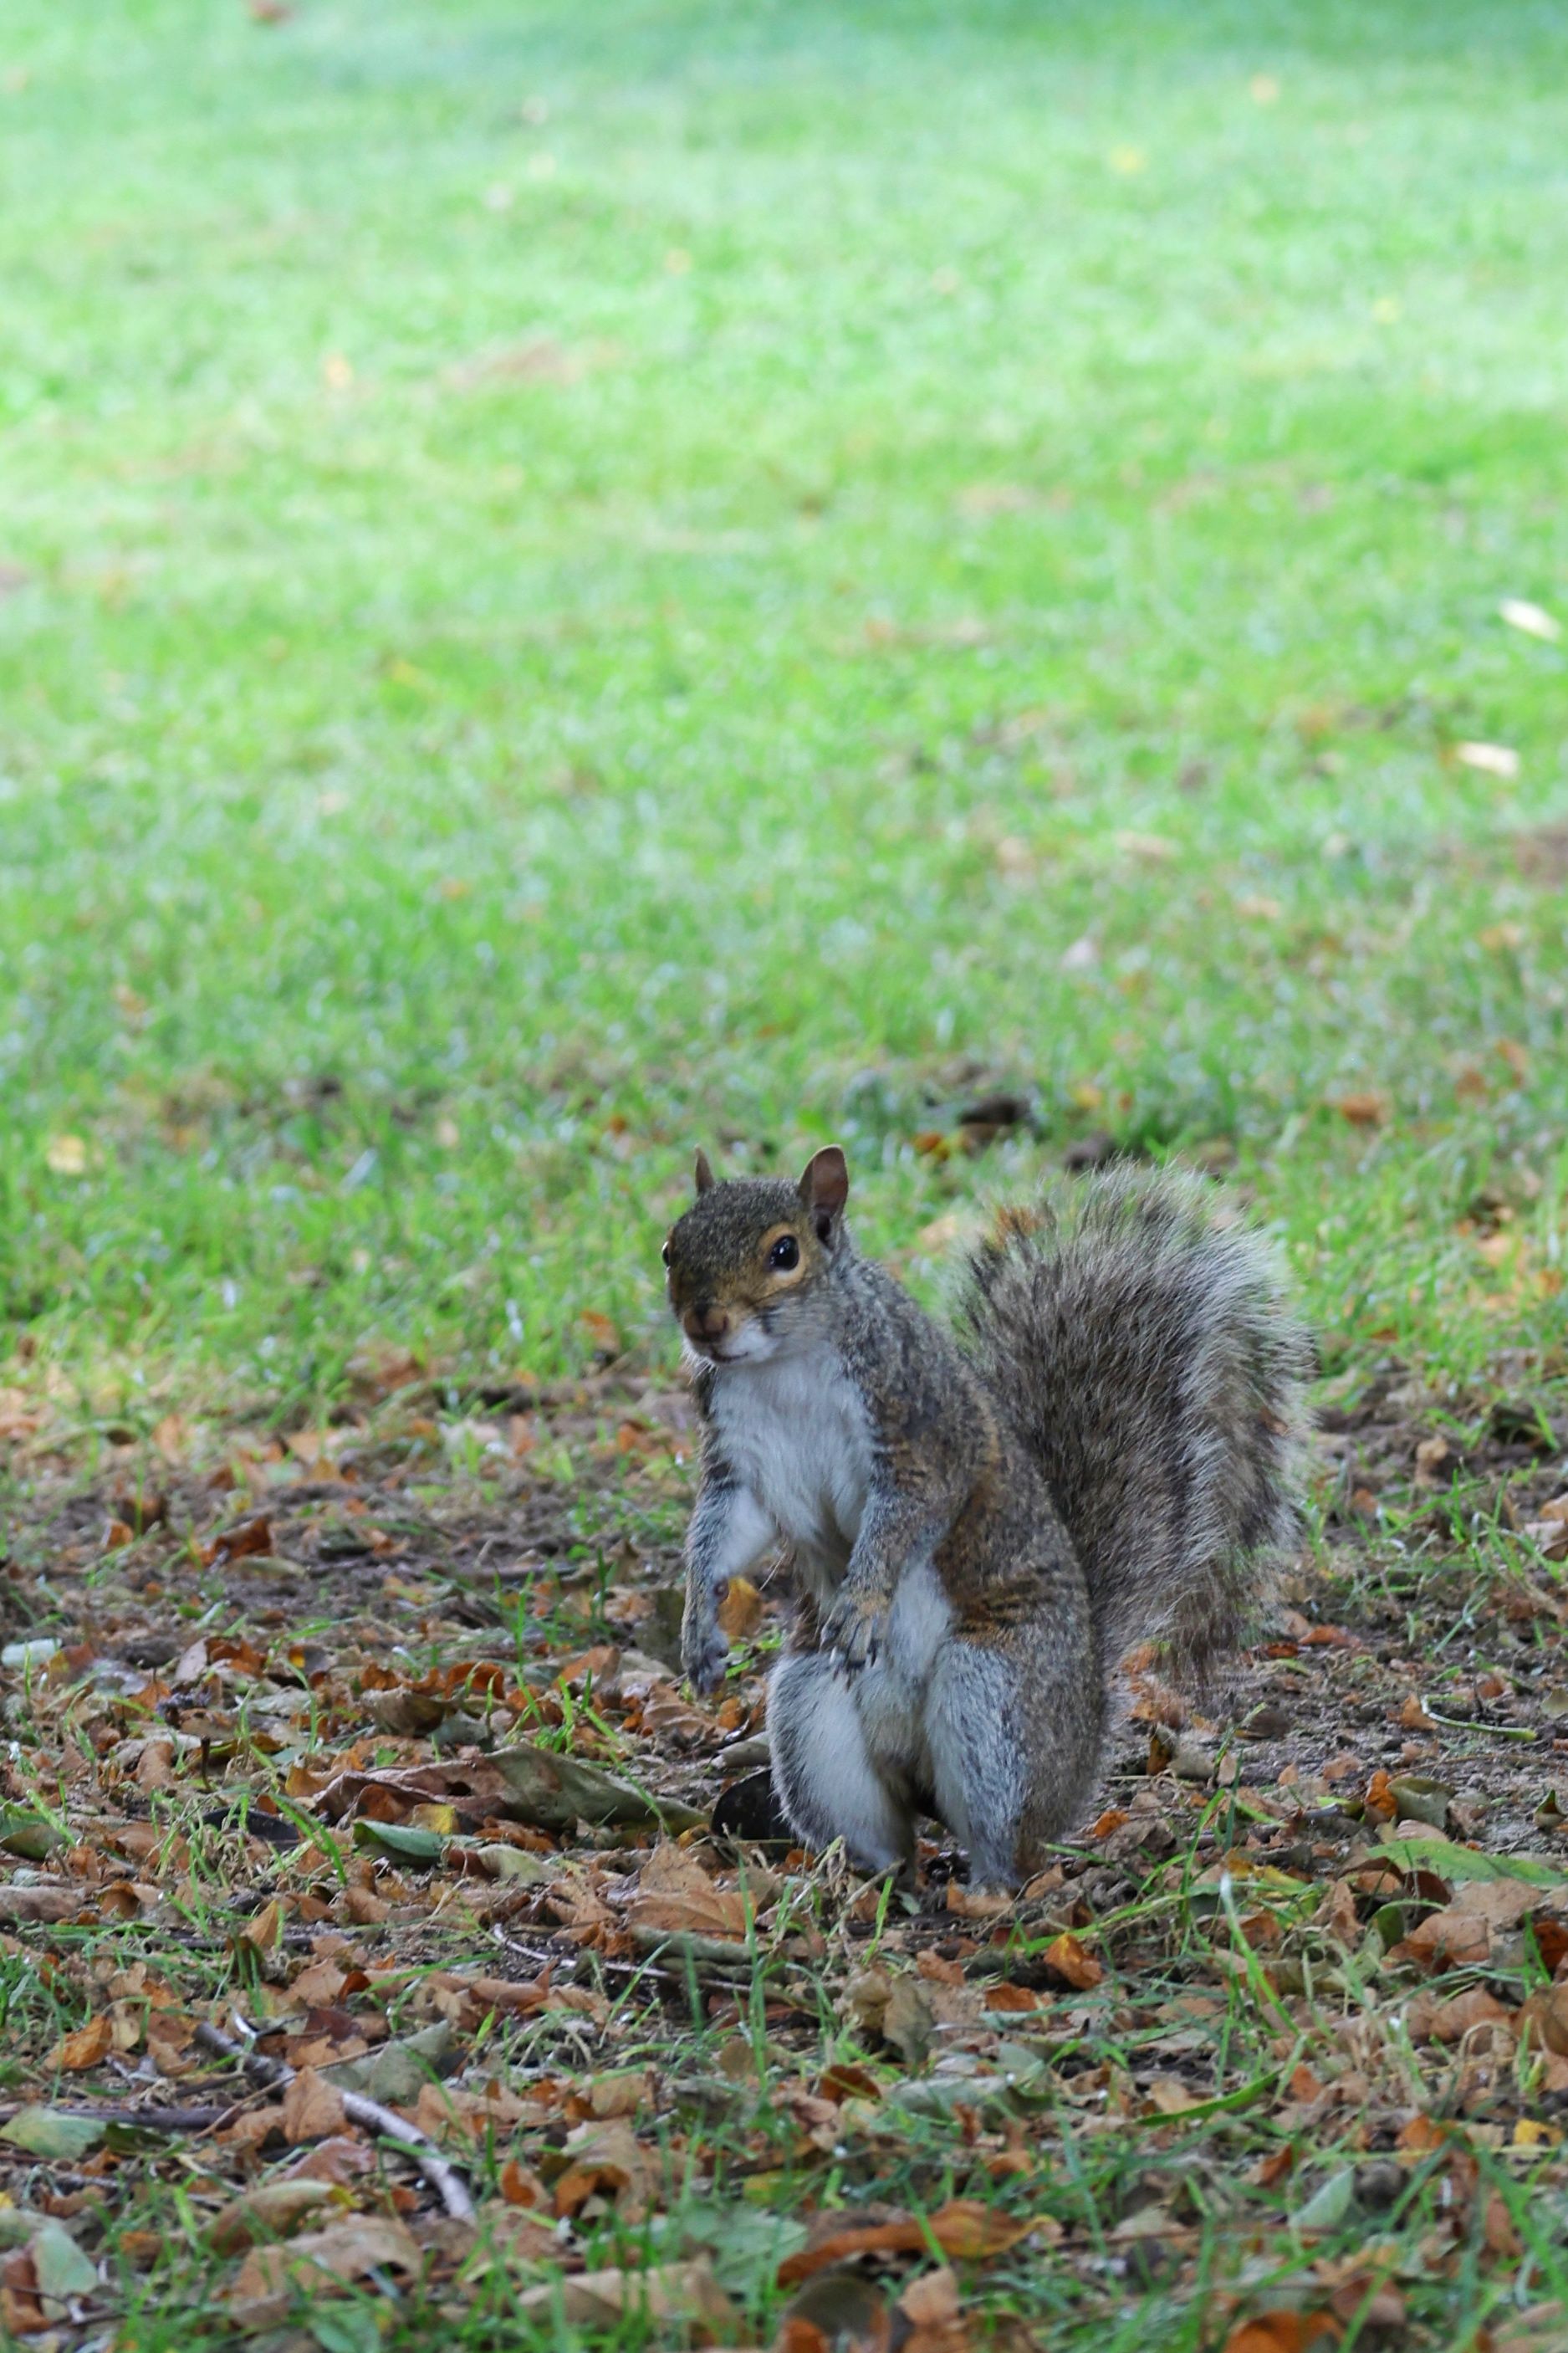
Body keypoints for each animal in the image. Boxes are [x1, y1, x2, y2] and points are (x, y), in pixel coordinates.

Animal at [664, 1144, 1312, 1890]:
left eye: (783, 1251)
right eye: (669, 1248)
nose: (704, 1321)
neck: (781, 1365)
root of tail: (1087, 1716)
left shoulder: (921, 1432)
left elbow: (903, 1520)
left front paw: (862, 1599)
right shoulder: (740, 1462)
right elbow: (724, 1535)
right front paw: (698, 1628)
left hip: (995, 1688)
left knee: (1012, 1840)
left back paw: (987, 1887)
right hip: (810, 1711)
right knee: (884, 1828)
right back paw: (871, 1882)